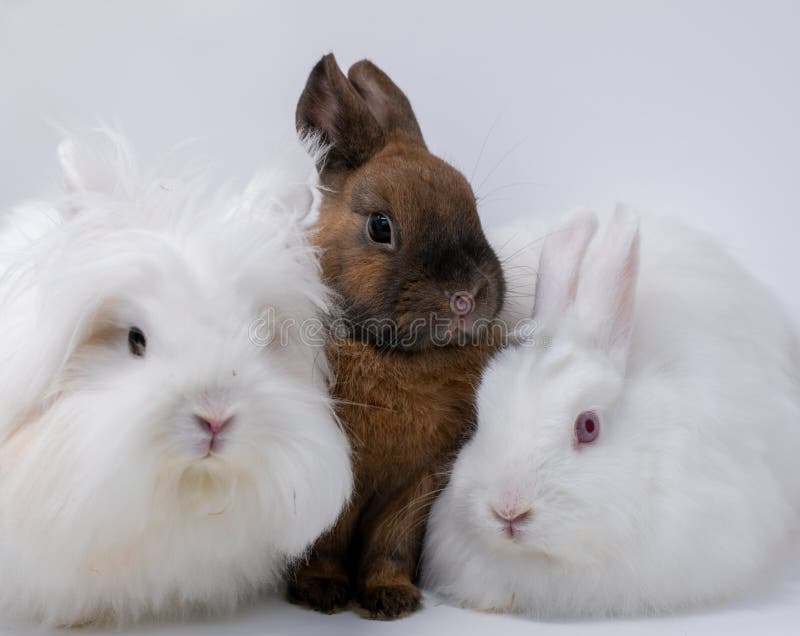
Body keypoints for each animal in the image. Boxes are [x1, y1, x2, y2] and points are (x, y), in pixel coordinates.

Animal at [286, 53, 507, 620]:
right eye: (381, 227)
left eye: (473, 208)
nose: (464, 296)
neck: (395, 355)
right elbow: (325, 540)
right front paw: (321, 592)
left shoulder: (418, 485)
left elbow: (392, 544)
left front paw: (391, 599)